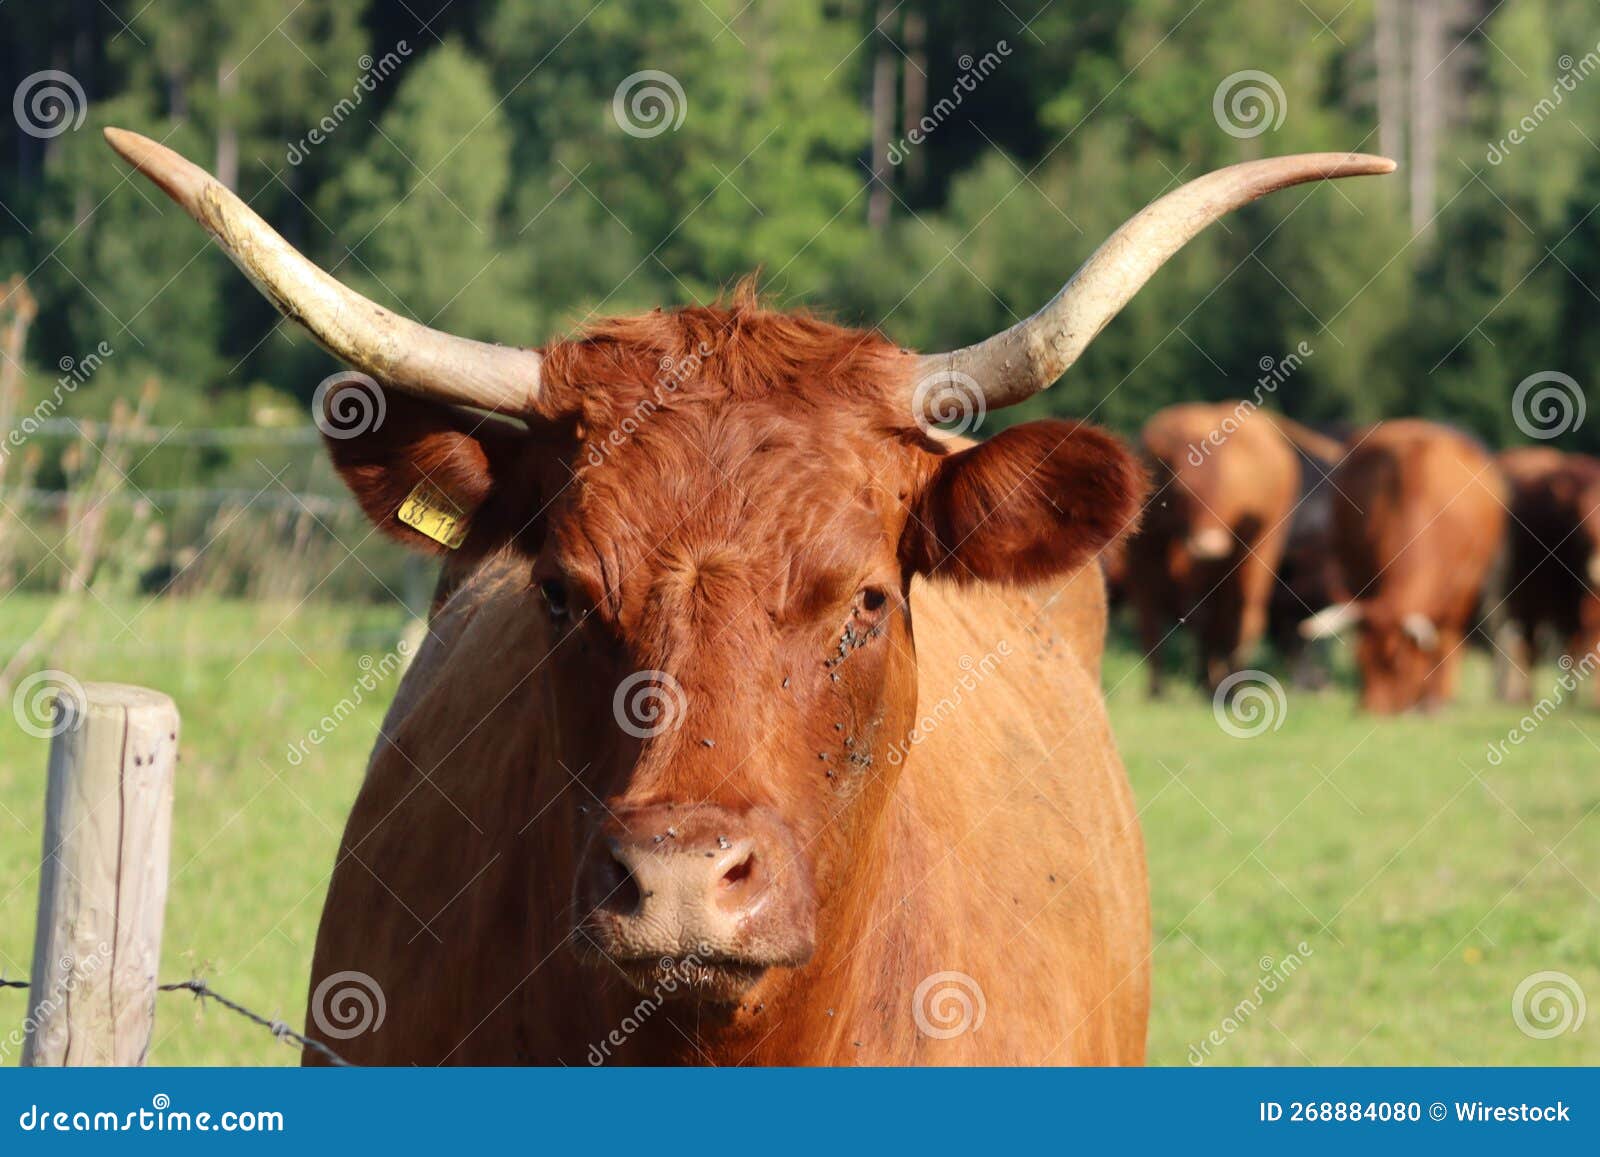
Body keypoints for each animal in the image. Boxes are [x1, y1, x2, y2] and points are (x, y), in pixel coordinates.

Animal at [1128, 402, 1338, 694]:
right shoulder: (1142, 564)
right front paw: (1157, 691)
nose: (1209, 545)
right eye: (1182, 491)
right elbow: (1151, 626)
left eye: (1222, 488)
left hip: (1258, 554)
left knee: (1244, 616)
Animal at [1301, 420, 1507, 714]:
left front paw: (1433, 702)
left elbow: (1444, 642)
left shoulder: (1464, 586)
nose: (1372, 711)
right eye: (1360, 659)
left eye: (1399, 664)